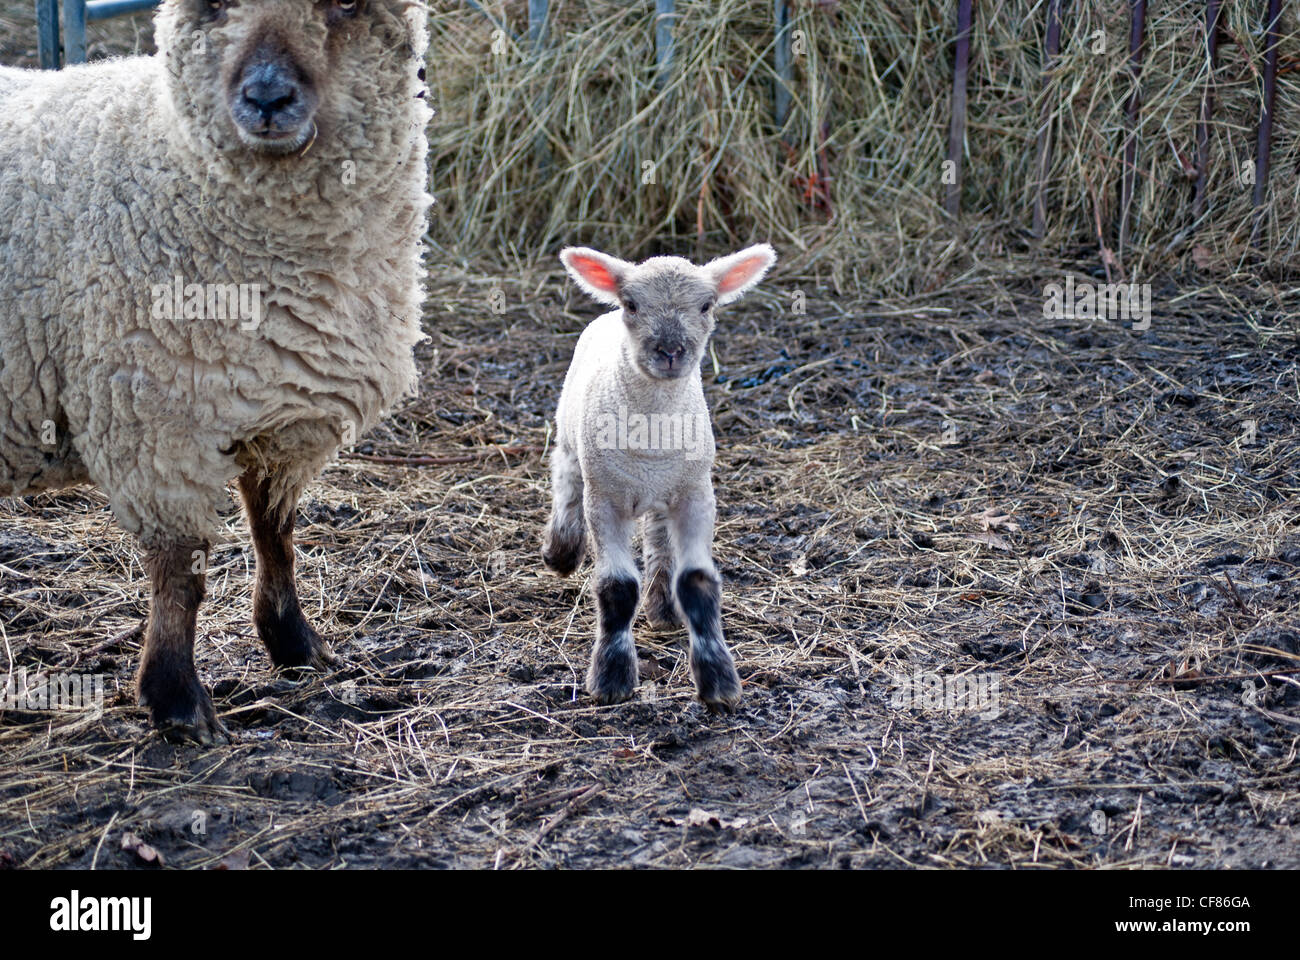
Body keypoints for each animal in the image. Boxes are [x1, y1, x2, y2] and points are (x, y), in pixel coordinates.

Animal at [0, 0, 432, 742]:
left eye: (346, 7)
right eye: (215, 7)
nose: (266, 99)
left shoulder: (286, 408)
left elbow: (275, 534)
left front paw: (296, 645)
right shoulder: (156, 423)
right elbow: (181, 573)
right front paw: (177, 701)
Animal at [543, 243, 776, 710]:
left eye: (706, 305)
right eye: (632, 305)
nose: (670, 351)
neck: (652, 433)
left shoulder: (696, 495)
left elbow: (698, 582)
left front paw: (718, 682)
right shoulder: (605, 498)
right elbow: (616, 588)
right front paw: (612, 677)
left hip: (665, 490)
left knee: (658, 537)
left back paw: (663, 607)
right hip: (571, 434)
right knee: (566, 479)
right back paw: (561, 549)